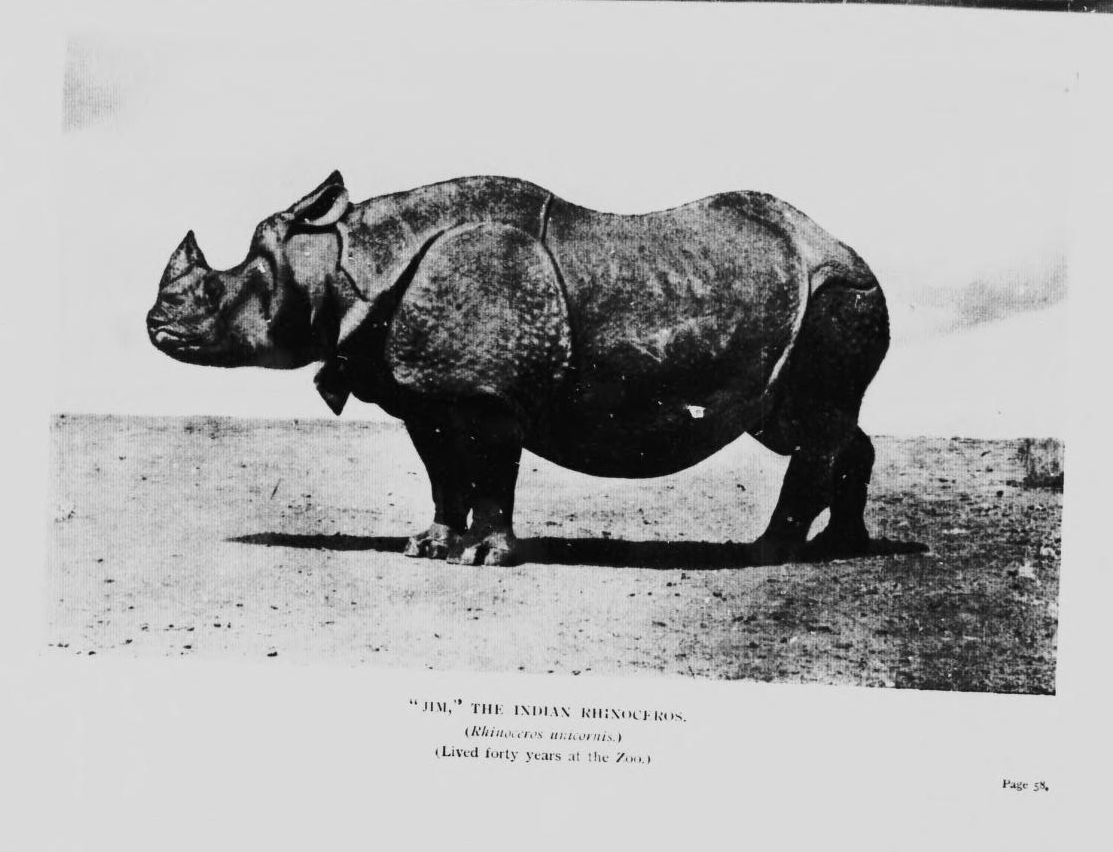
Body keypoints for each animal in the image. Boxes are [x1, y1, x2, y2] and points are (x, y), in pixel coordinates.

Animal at [147, 172, 889, 566]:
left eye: (221, 291)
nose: (156, 327)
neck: (343, 263)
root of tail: (848, 248)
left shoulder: (488, 391)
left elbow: (493, 469)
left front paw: (485, 557)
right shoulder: (423, 395)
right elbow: (443, 473)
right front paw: (430, 546)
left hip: (838, 293)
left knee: (811, 428)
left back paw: (766, 553)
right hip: (805, 305)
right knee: (803, 425)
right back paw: (843, 545)